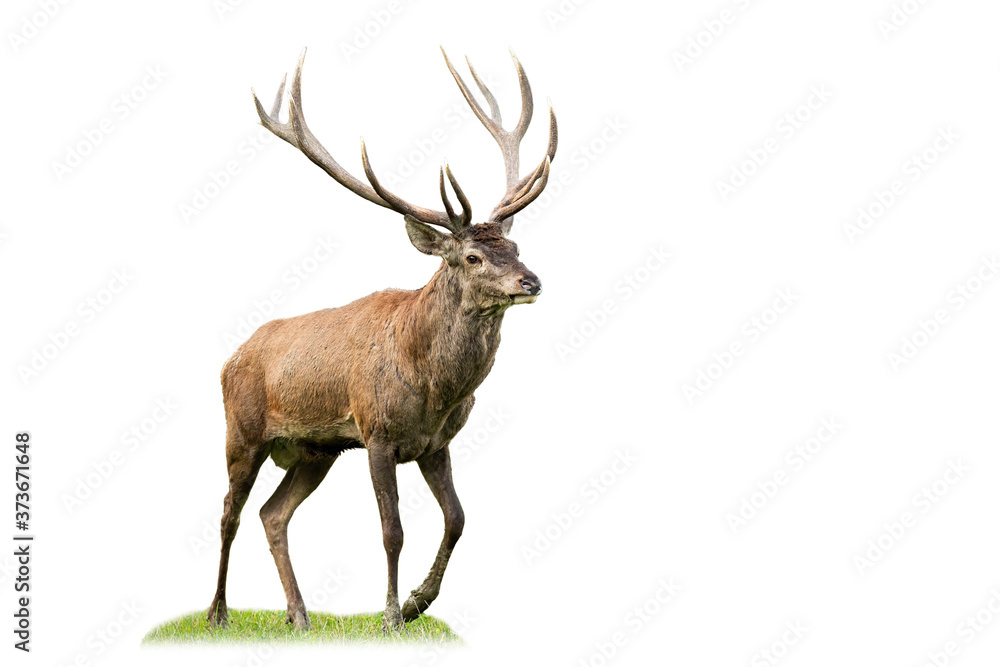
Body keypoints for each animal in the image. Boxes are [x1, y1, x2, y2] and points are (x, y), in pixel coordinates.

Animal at [207, 48, 557, 634]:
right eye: (473, 257)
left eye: (514, 245)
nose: (531, 282)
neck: (435, 388)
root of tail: (229, 359)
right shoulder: (377, 433)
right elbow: (392, 530)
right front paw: (392, 614)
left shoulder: (436, 443)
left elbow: (458, 519)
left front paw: (418, 601)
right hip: (244, 431)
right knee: (228, 512)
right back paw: (217, 613)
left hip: (315, 451)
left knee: (272, 514)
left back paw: (299, 615)